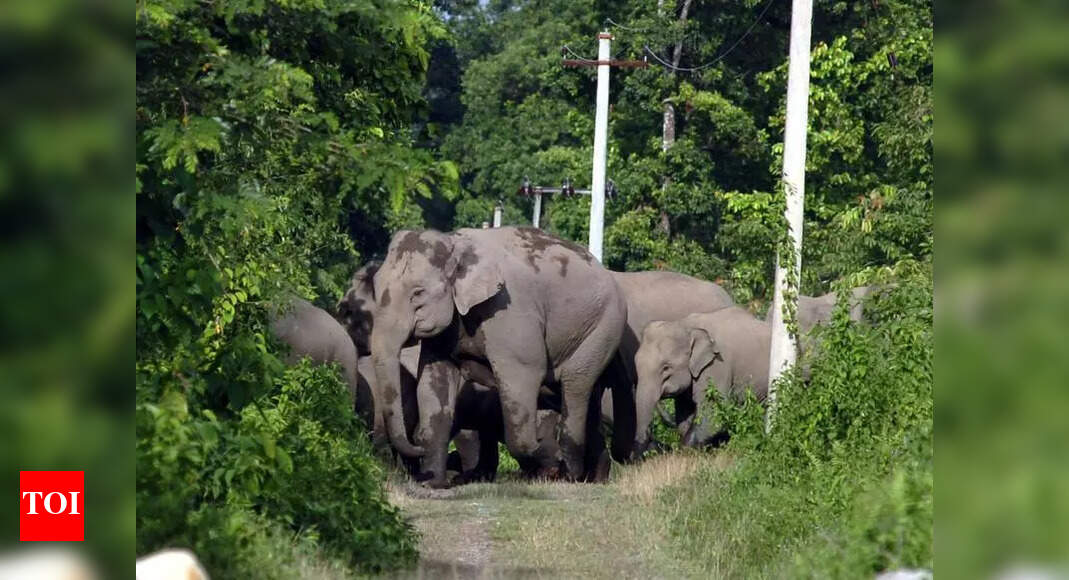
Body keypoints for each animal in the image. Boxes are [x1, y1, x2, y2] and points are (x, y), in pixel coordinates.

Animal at [368, 226, 635, 487]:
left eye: (417, 293)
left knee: (575, 386)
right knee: (581, 399)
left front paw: (551, 464)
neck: (455, 241)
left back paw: (570, 475)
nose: (416, 443)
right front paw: (431, 484)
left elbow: (524, 374)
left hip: (601, 329)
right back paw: (594, 477)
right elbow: (434, 380)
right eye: (376, 288)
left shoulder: (508, 310)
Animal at [634, 306, 771, 449]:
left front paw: (685, 449)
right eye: (636, 364)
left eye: (666, 367)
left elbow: (712, 410)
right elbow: (684, 412)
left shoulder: (717, 365)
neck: (686, 325)